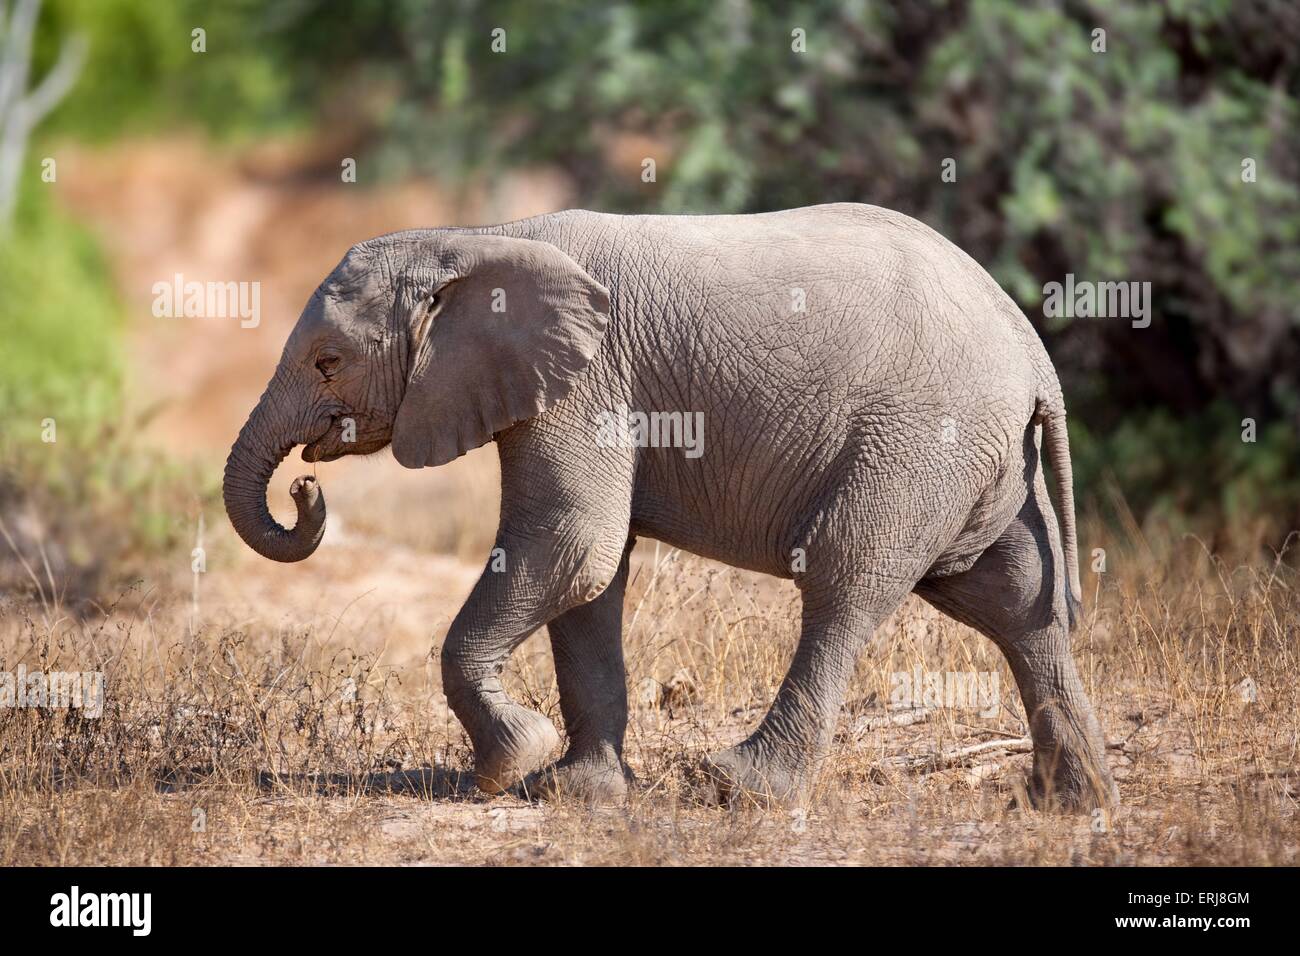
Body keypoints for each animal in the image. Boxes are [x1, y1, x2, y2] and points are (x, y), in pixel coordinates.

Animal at [223, 202, 1117, 811]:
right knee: (1014, 602)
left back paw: (740, 787)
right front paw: (578, 792)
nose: (305, 486)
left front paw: (513, 765)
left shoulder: (588, 385)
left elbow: (570, 547)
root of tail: (1033, 350)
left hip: (921, 441)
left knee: (847, 581)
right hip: (980, 461)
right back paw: (1069, 803)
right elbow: (589, 577)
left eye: (328, 362)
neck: (477, 239)